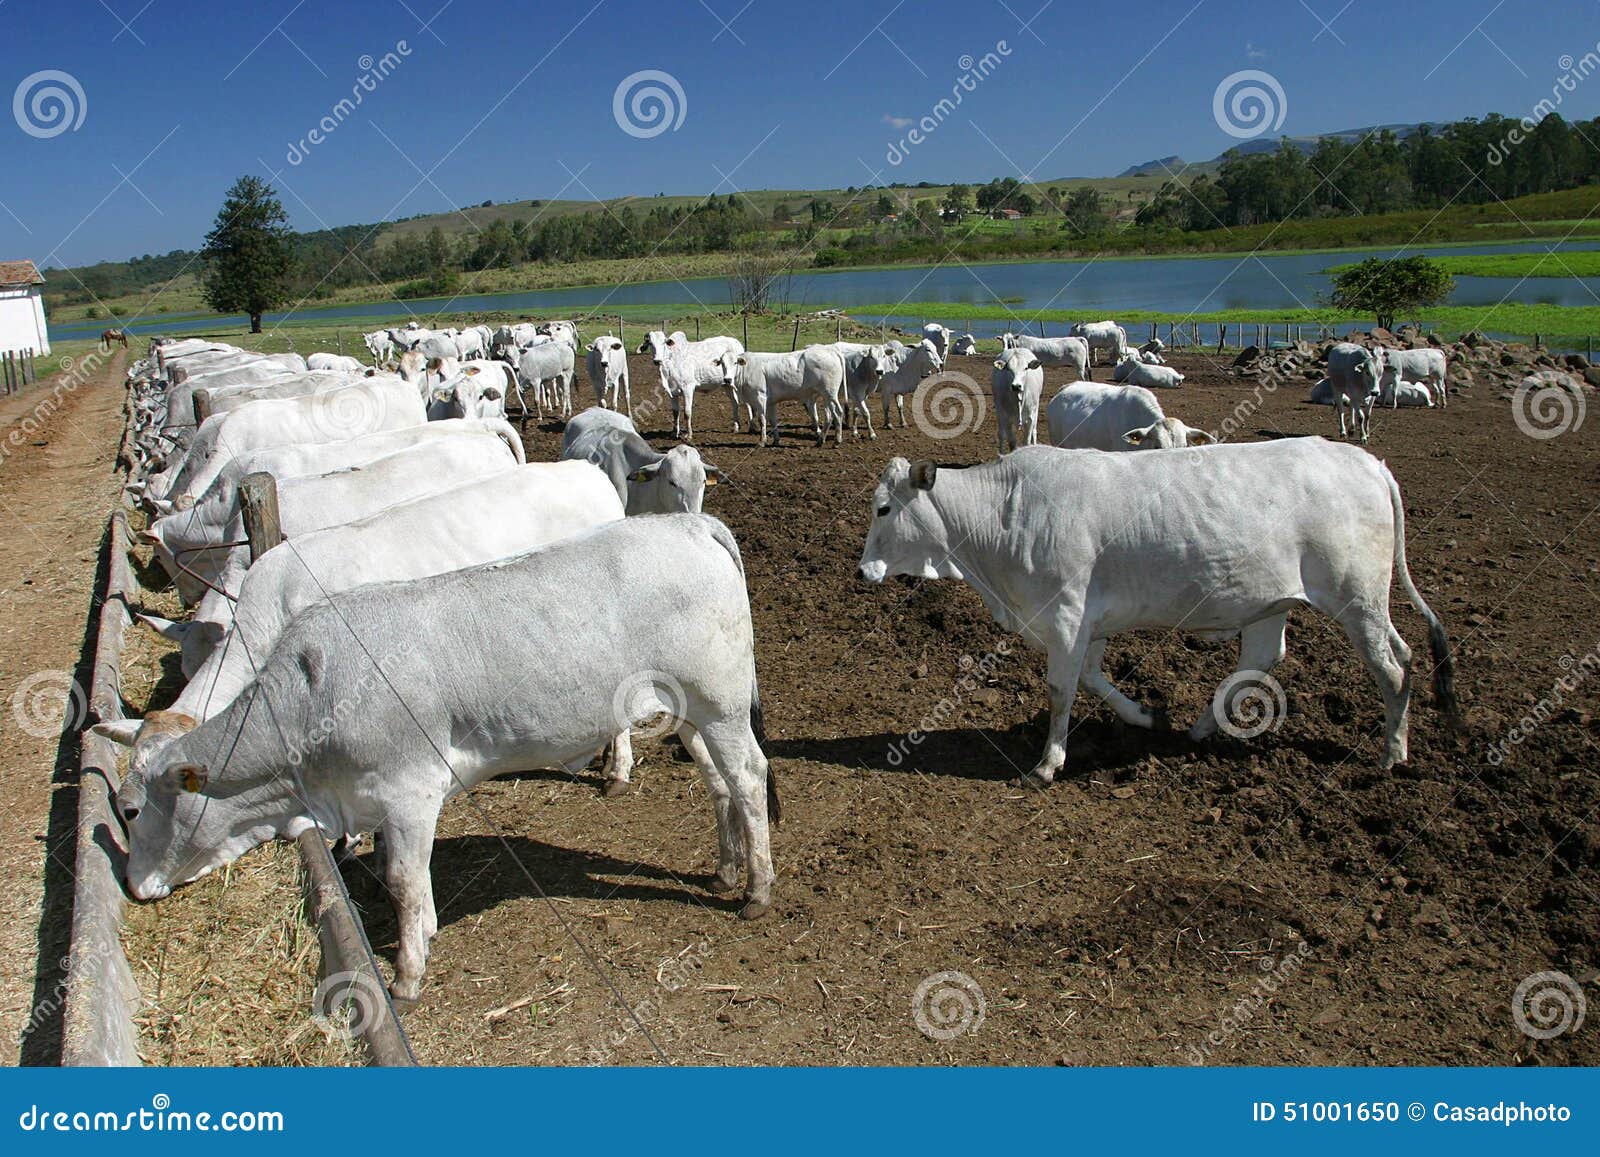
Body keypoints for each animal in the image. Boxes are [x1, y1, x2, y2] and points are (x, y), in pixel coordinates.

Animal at [100, 513, 778, 1002]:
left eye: (130, 809)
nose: (131, 885)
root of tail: (690, 524)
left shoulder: (409, 791)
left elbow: (403, 878)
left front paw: (406, 972)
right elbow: (407, 876)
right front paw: (421, 931)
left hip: (721, 702)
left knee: (748, 777)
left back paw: (756, 890)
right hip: (689, 710)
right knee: (718, 782)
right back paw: (725, 868)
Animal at [857, 444, 1457, 784]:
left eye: (884, 508)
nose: (863, 572)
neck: (1004, 516)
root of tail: (1367, 462)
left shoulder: (1067, 617)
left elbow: (1061, 691)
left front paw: (1049, 763)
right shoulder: (1088, 625)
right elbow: (1093, 679)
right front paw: (1145, 717)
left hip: (1359, 598)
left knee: (1394, 668)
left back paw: (1392, 754)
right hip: (1272, 601)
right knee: (1268, 656)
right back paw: (1198, 728)